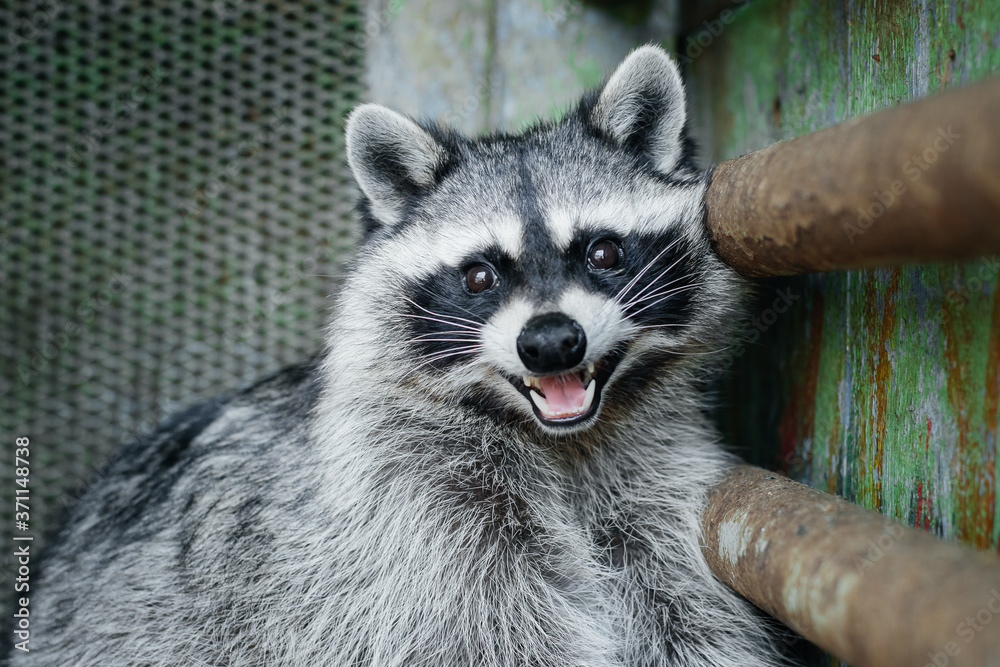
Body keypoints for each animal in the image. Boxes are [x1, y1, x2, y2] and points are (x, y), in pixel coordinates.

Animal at [9, 46, 789, 666]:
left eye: (602, 252)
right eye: (478, 275)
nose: (550, 342)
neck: (563, 442)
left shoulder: (658, 498)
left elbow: (692, 620)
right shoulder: (411, 529)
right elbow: (488, 633)